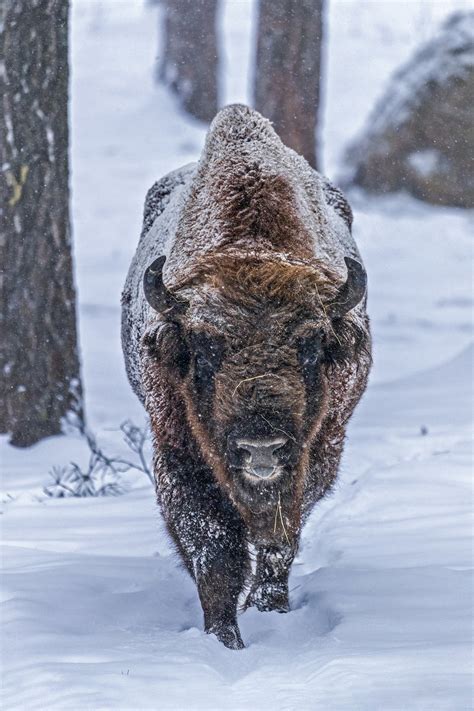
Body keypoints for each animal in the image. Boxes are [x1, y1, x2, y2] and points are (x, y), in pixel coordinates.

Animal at [121, 105, 370, 652]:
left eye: (311, 345)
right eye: (205, 349)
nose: (261, 448)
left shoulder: (321, 447)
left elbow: (281, 538)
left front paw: (268, 608)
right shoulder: (177, 452)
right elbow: (215, 552)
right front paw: (224, 640)